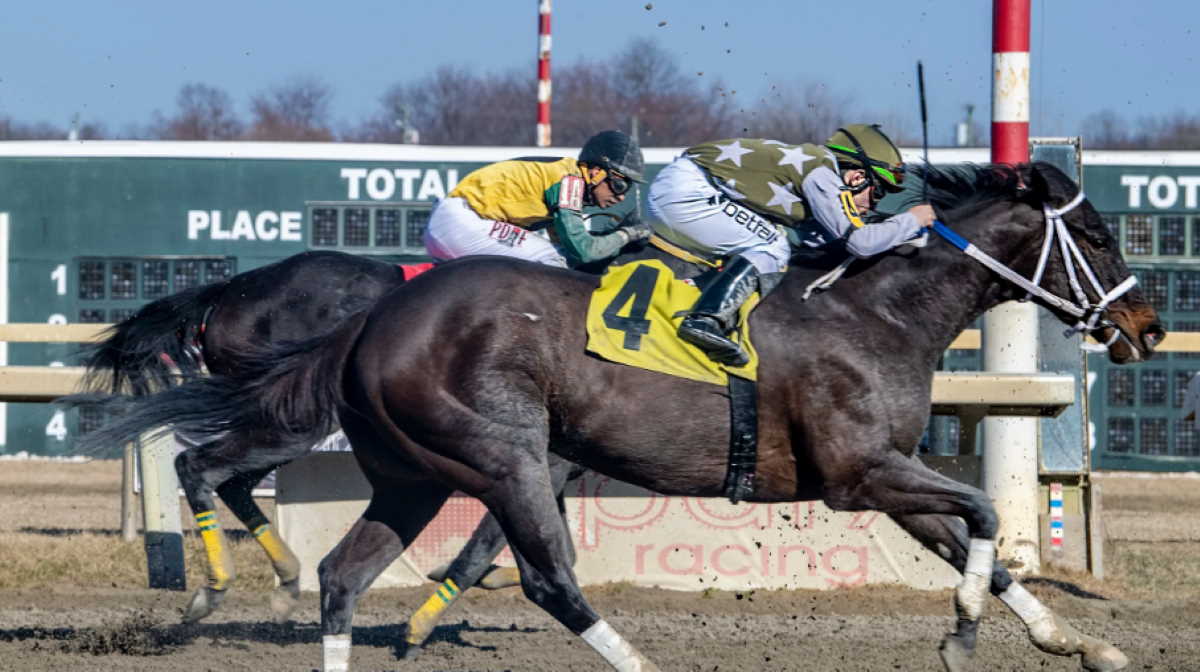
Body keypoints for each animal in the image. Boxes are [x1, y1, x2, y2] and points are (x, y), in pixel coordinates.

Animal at [78, 248, 584, 642]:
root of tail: (232, 290)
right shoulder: (528, 463)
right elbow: (495, 546)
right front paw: (428, 616)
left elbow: (554, 548)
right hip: (295, 415)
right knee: (203, 466)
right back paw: (217, 588)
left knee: (232, 480)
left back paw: (284, 580)